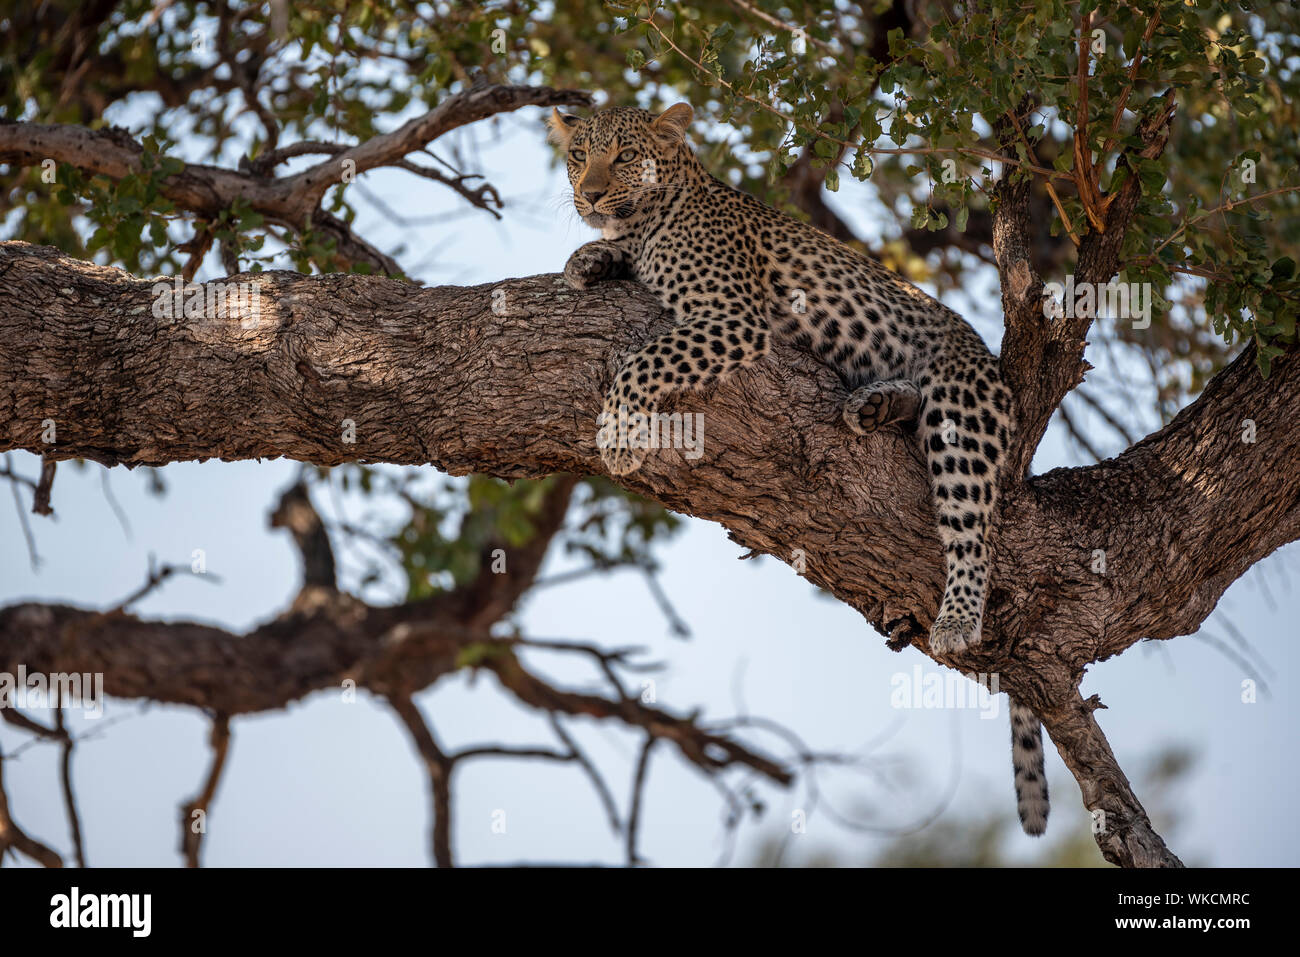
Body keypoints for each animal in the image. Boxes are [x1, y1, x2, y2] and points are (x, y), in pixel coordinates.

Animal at [548, 102, 1048, 836]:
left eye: (623, 155)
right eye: (579, 154)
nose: (589, 194)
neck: (658, 212)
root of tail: (989, 364)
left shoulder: (734, 317)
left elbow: (647, 357)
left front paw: (618, 432)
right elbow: (610, 262)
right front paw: (588, 259)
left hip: (964, 410)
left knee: (976, 530)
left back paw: (958, 616)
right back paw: (876, 404)